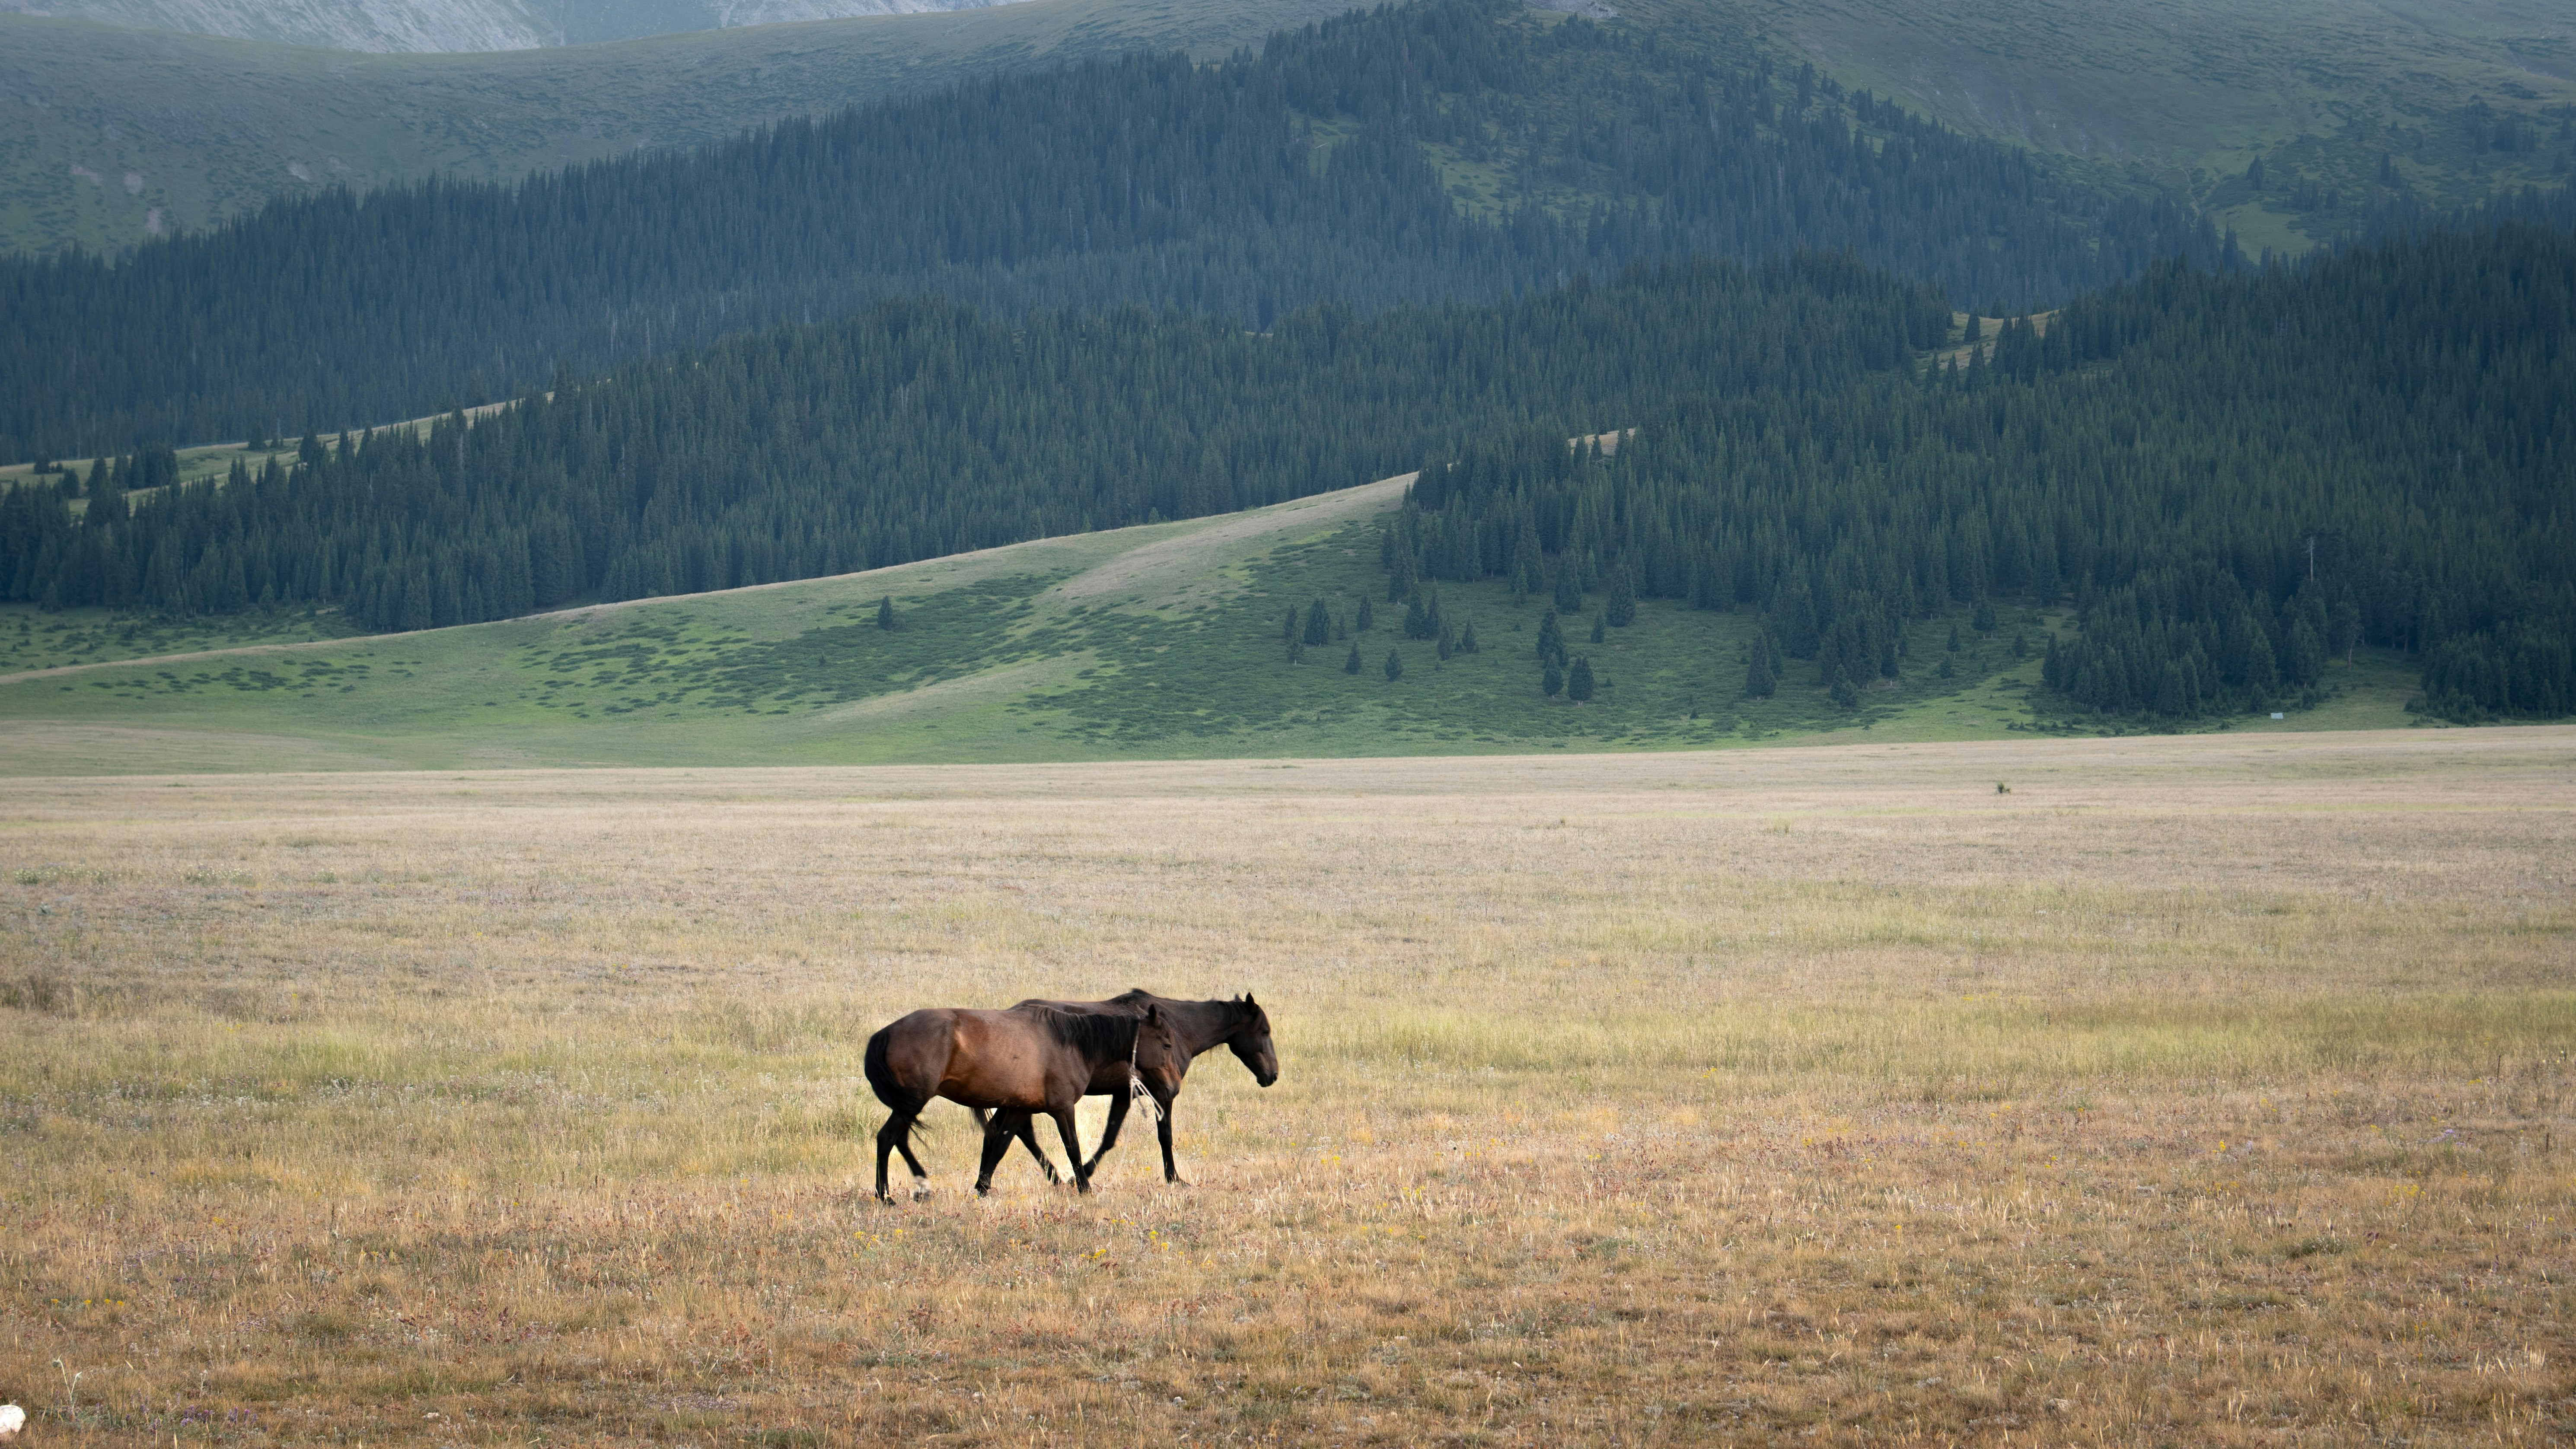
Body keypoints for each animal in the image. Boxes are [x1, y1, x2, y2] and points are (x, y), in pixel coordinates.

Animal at [862, 1002, 1184, 1202]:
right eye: (1167, 1044)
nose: (1173, 1087)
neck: (1071, 1043)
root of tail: (886, 1032)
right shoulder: (1063, 1108)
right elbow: (1073, 1148)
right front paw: (1084, 1187)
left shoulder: (1020, 1108)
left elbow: (1000, 1147)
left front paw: (982, 1188)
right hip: (913, 1103)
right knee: (886, 1138)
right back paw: (886, 1195)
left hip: (909, 1105)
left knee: (899, 1140)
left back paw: (920, 1186)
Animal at [977, 990, 1278, 1184]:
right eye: (1265, 1031)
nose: (1273, 1075)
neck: (1178, 1028)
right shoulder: (1161, 1093)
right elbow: (1165, 1136)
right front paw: (1174, 1179)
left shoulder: (1125, 1093)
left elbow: (1109, 1138)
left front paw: (1082, 1174)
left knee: (1008, 1131)